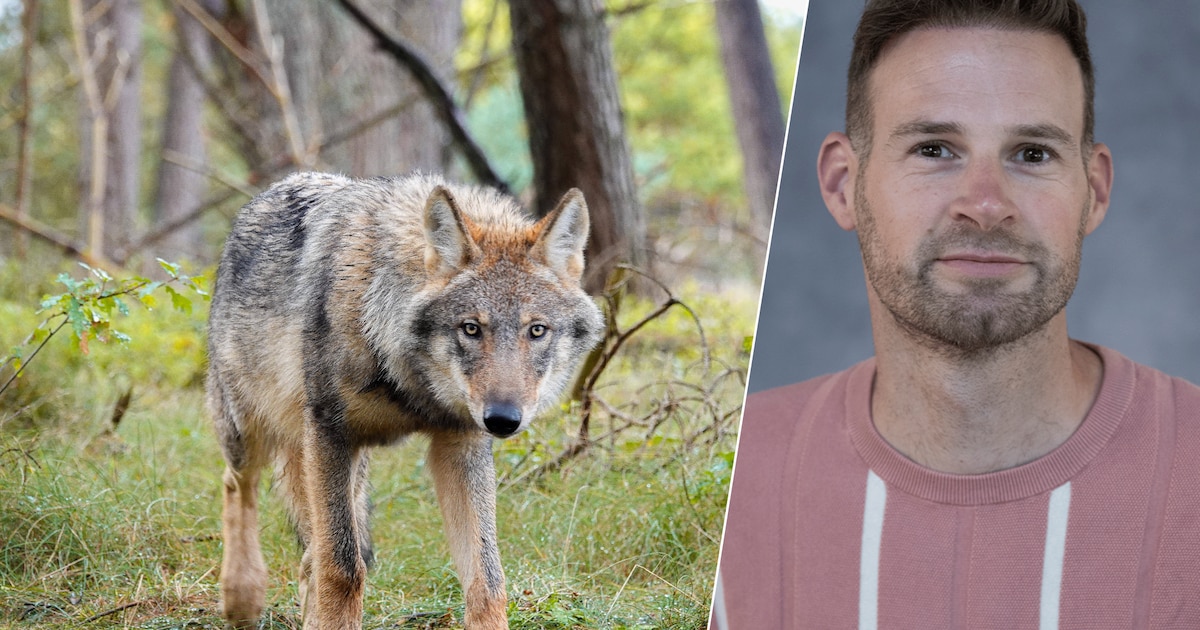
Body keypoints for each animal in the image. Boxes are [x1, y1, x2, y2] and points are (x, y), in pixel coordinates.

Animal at [205, 172, 605, 629]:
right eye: (471, 328)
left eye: (537, 330)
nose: (504, 420)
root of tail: (277, 187)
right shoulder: (328, 433)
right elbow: (343, 568)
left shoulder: (461, 443)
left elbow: (488, 581)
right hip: (251, 430)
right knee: (238, 484)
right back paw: (242, 596)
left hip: (343, 465)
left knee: (310, 553)